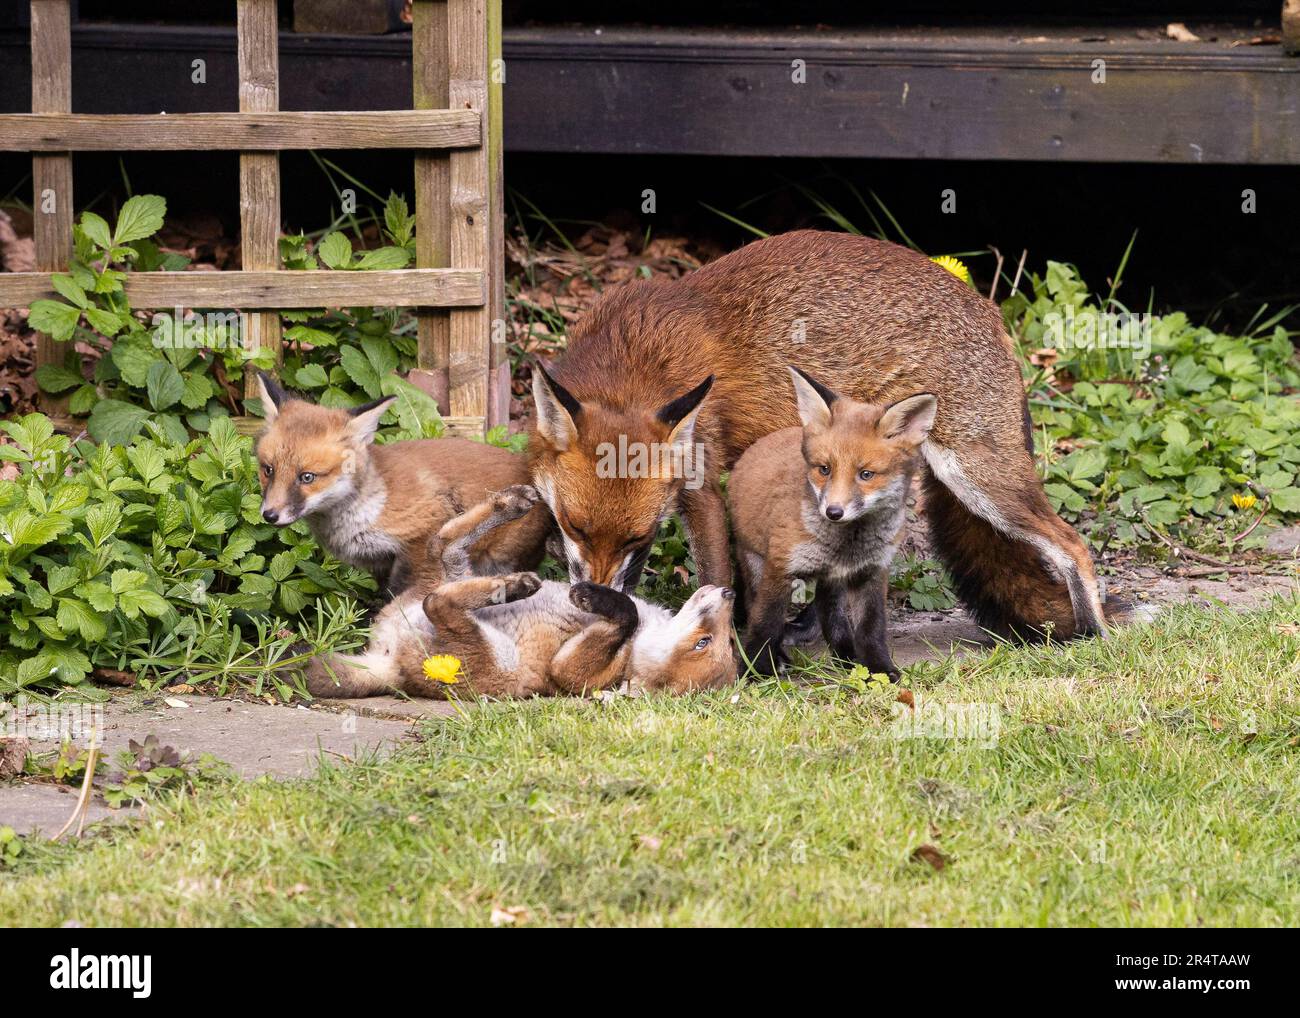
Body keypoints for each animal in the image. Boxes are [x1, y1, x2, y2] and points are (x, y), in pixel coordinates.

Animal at [253, 372, 550, 597]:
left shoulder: (422, 536)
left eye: (307, 477)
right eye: (268, 470)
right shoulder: (379, 563)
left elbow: (409, 589)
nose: (269, 515)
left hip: (498, 557)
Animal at [302, 485, 738, 699]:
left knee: (439, 600)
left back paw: (511, 586)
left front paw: (592, 599)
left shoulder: (571, 672)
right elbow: (626, 603)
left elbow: (622, 618)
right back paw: (511, 506)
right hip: (452, 571)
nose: (730, 594)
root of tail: (393, 670)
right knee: (443, 542)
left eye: (705, 643)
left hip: (485, 656)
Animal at [530, 229, 1121, 642]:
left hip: (980, 480)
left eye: (635, 537)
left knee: (1073, 544)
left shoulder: (701, 481)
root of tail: (990, 308)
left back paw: (1093, 635)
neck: (635, 362)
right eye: (575, 527)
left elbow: (712, 573)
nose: (591, 602)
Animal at [730, 368, 938, 678]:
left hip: (832, 584)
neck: (847, 544)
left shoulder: (872, 573)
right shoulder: (780, 567)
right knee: (758, 607)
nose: (833, 512)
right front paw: (758, 671)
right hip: (755, 561)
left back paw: (846, 658)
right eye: (824, 469)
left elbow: (872, 629)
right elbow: (765, 624)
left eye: (866, 474)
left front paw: (879, 669)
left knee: (833, 621)